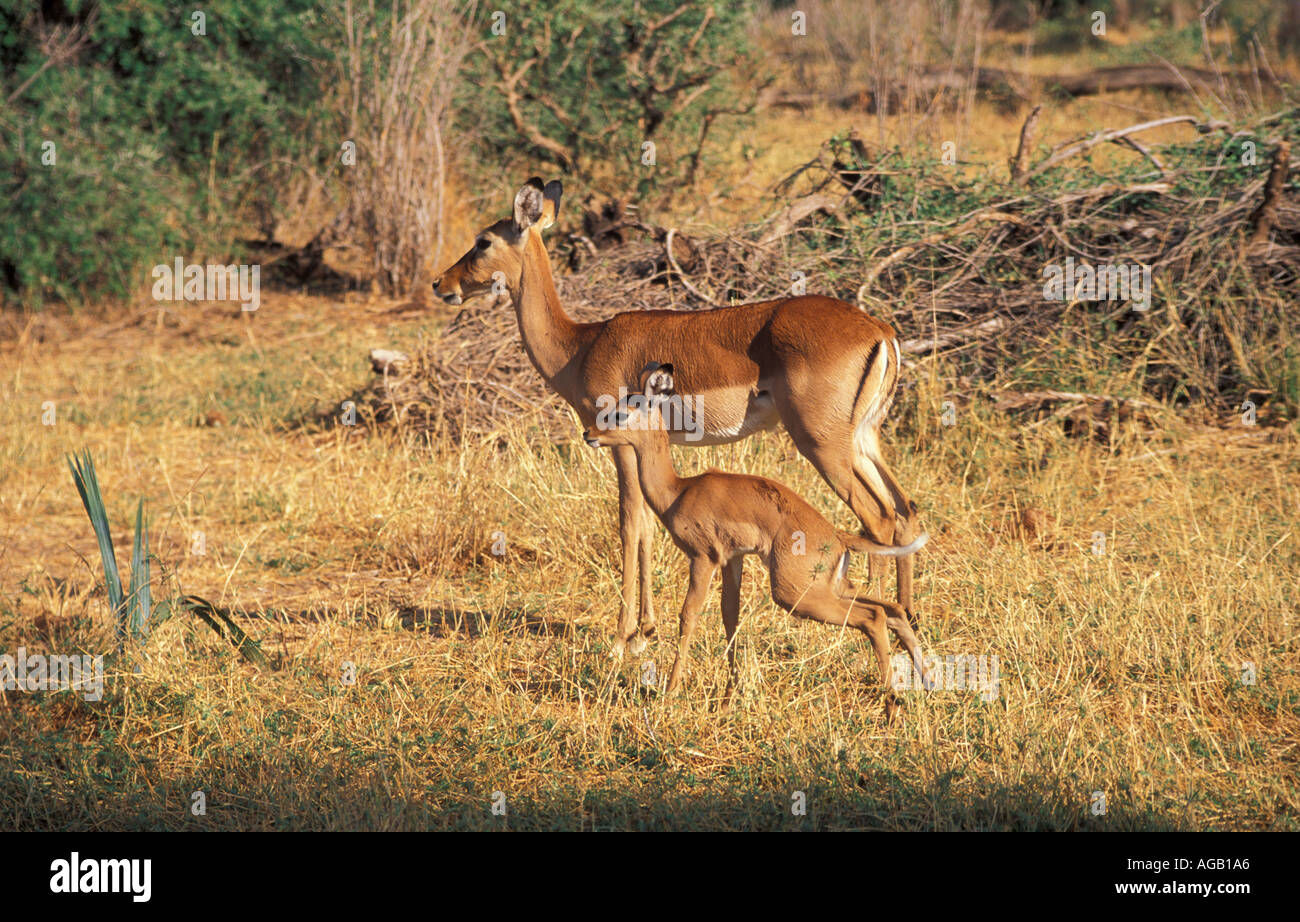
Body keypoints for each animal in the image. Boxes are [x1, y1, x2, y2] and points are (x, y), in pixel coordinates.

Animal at [433, 178, 922, 657]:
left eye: (483, 241)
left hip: (823, 445)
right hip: (863, 440)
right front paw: (645, 631)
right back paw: (909, 618)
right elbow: (648, 527)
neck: (580, 346)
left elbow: (630, 524)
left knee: (877, 517)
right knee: (904, 510)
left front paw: (622, 639)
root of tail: (880, 331)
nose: (440, 283)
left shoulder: (620, 447)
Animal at [582, 363, 930, 714]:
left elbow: (688, 616)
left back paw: (892, 702)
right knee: (893, 610)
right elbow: (730, 616)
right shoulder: (733, 559)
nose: (589, 434)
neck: (678, 492)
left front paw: (671, 690)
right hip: (833, 587)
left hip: (796, 595)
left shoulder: (703, 558)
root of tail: (837, 536)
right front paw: (729, 695)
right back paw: (924, 685)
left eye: (621, 413)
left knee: (873, 617)